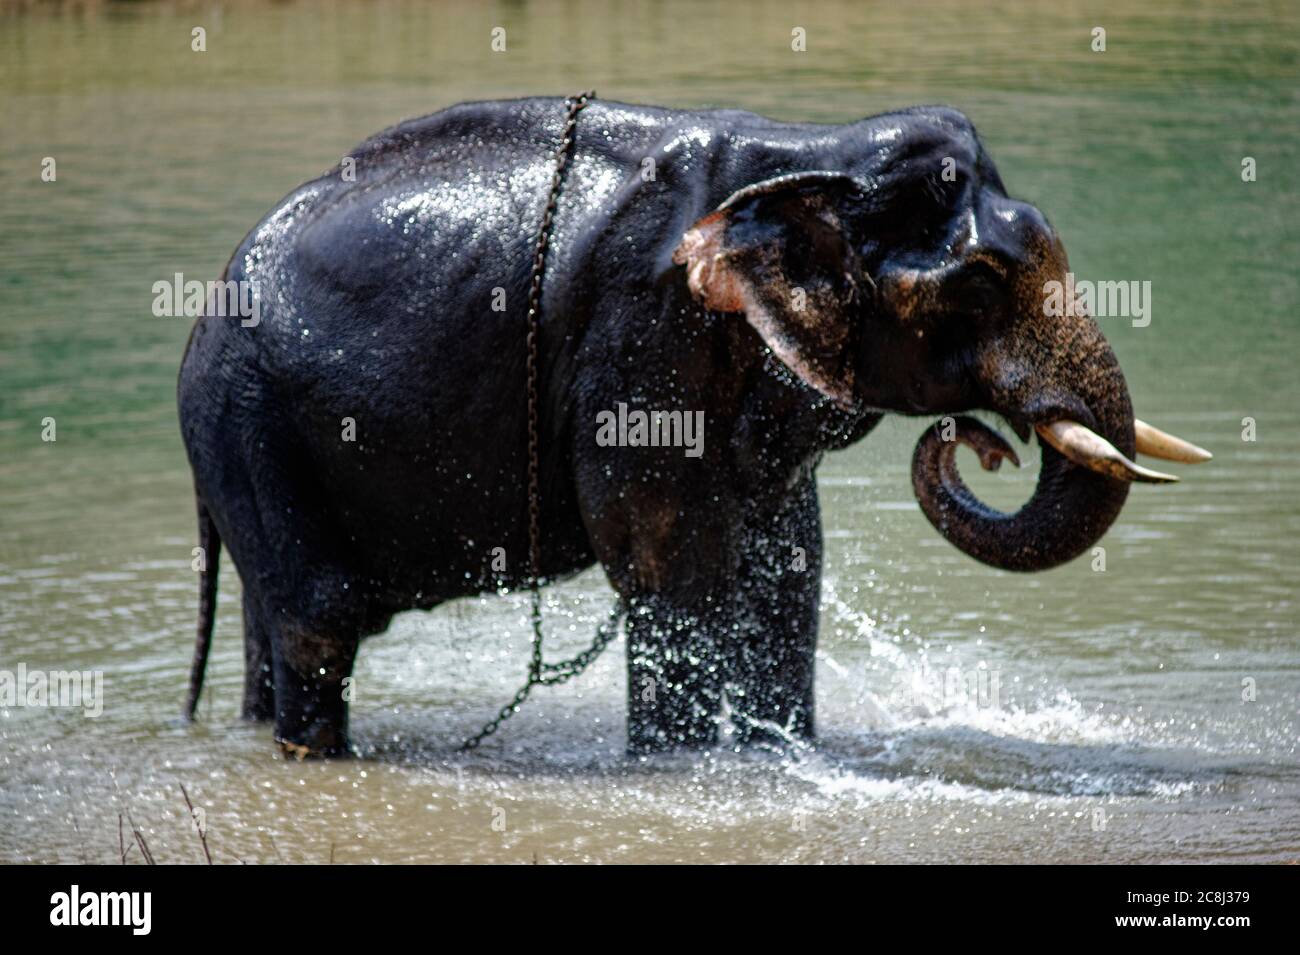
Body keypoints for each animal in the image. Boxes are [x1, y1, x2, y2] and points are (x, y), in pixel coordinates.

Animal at [178, 96, 1209, 756]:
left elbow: (786, 569)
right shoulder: (640, 344)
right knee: (317, 618)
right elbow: (675, 577)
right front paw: (684, 767)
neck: (809, 150)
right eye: (982, 286)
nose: (982, 441)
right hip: (244, 418)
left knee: (274, 624)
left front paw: (776, 756)